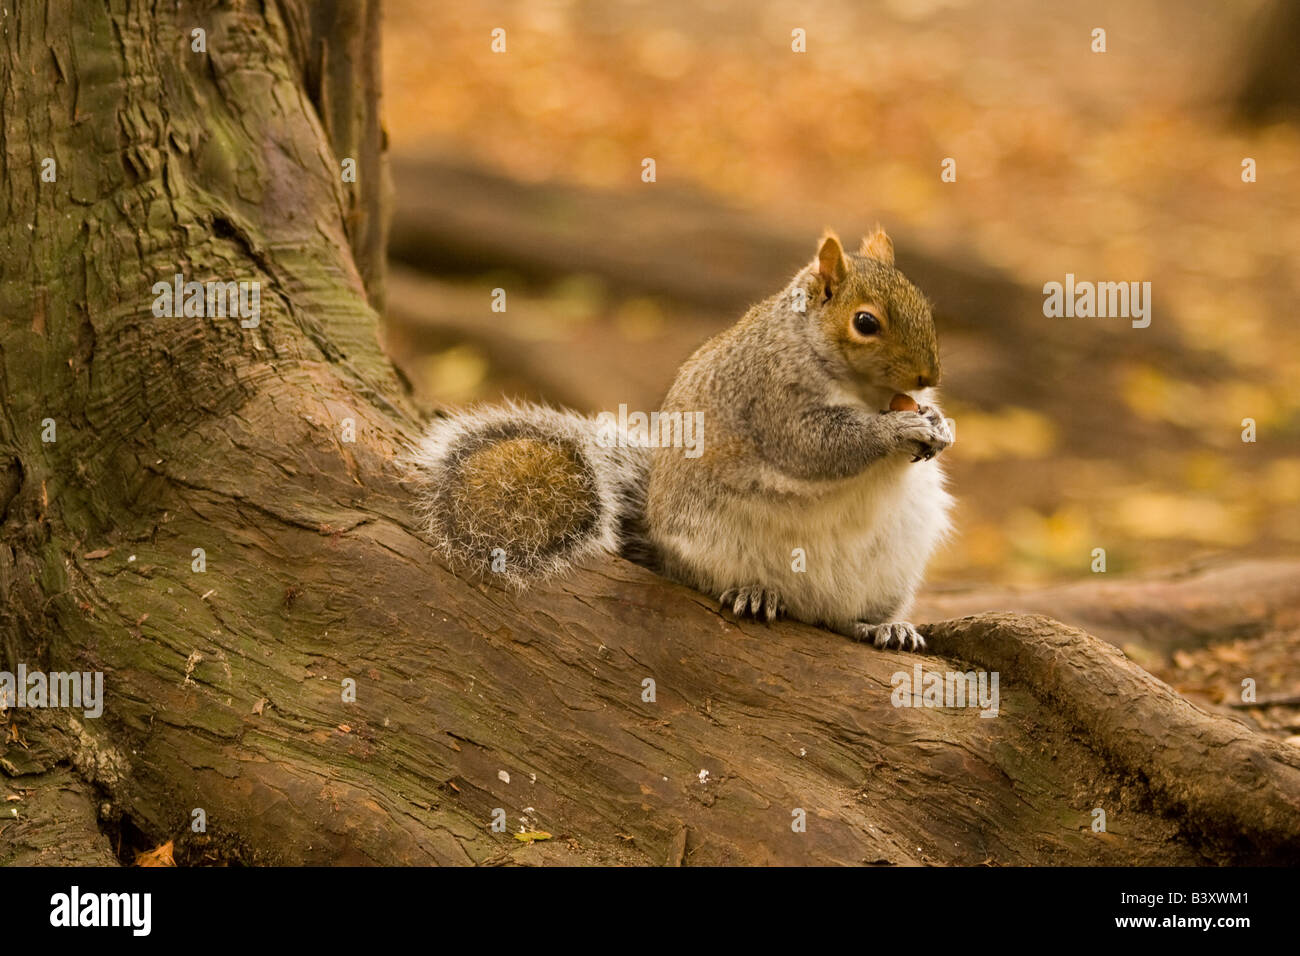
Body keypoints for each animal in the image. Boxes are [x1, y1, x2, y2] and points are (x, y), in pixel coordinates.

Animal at [409, 227, 953, 651]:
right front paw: (898, 429)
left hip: (890, 570)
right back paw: (755, 593)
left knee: (844, 620)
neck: (863, 390)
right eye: (865, 322)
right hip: (711, 550)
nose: (929, 377)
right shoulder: (770, 397)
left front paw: (939, 422)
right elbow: (816, 446)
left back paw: (882, 628)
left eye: (925, 306)